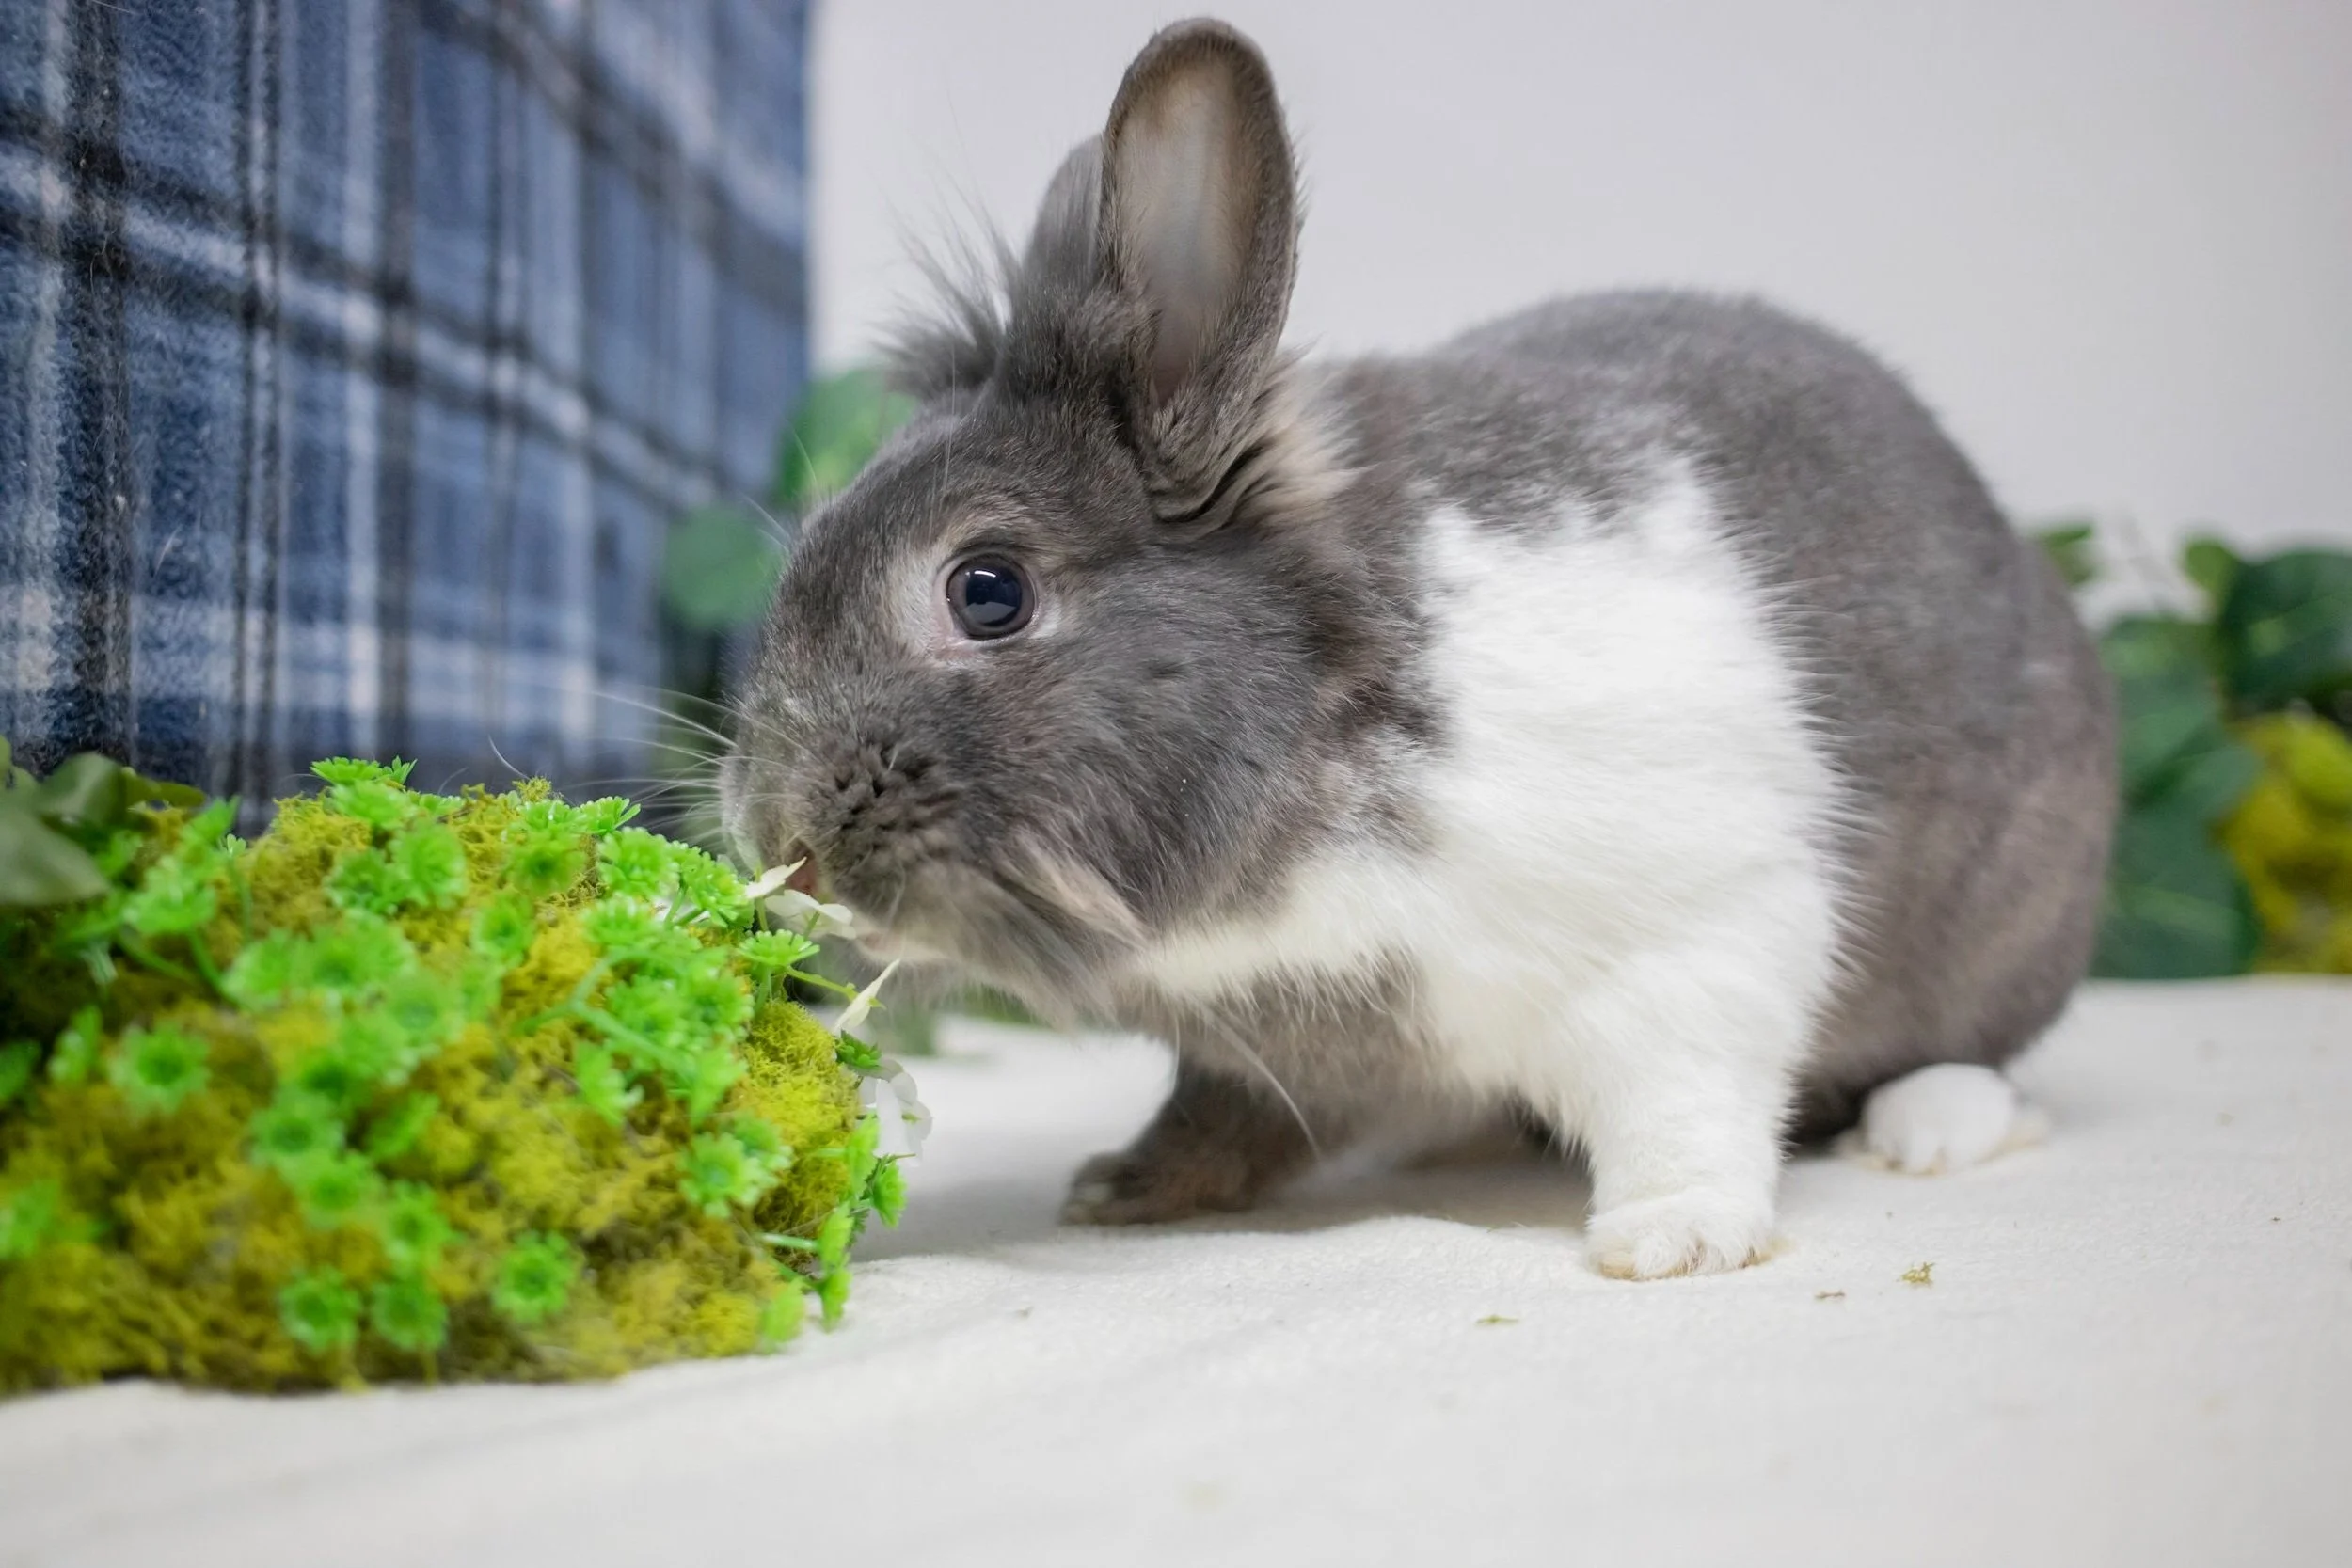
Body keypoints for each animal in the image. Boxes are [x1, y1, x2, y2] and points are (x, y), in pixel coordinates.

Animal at [720, 18, 2116, 1277]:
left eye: (988, 590)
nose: (779, 837)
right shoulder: (1268, 1048)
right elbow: (1222, 1113)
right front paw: (1124, 1186)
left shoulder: (1707, 926)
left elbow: (1690, 1099)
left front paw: (1671, 1239)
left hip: (2007, 927)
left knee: (1973, 1055)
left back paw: (1926, 1126)